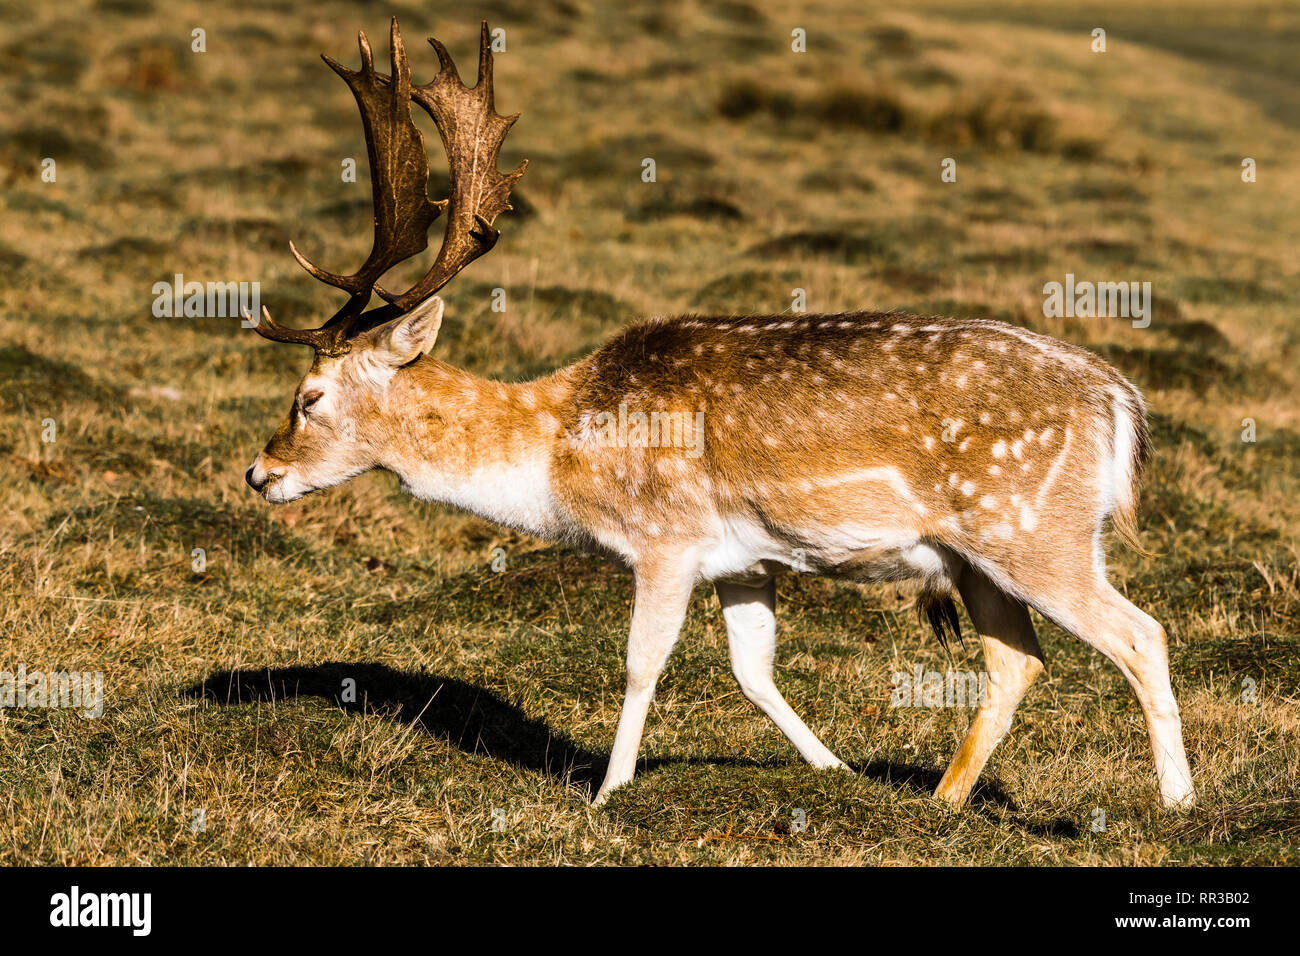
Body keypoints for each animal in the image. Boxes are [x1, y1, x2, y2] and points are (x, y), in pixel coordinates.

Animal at [243, 19, 1195, 811]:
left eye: (309, 397)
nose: (259, 472)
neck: (558, 458)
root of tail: (1122, 401)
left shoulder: (666, 539)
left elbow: (641, 663)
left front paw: (606, 793)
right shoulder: (747, 559)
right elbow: (752, 671)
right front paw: (836, 771)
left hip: (1034, 530)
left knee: (1140, 632)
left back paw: (1178, 803)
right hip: (975, 558)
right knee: (1014, 659)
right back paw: (940, 802)